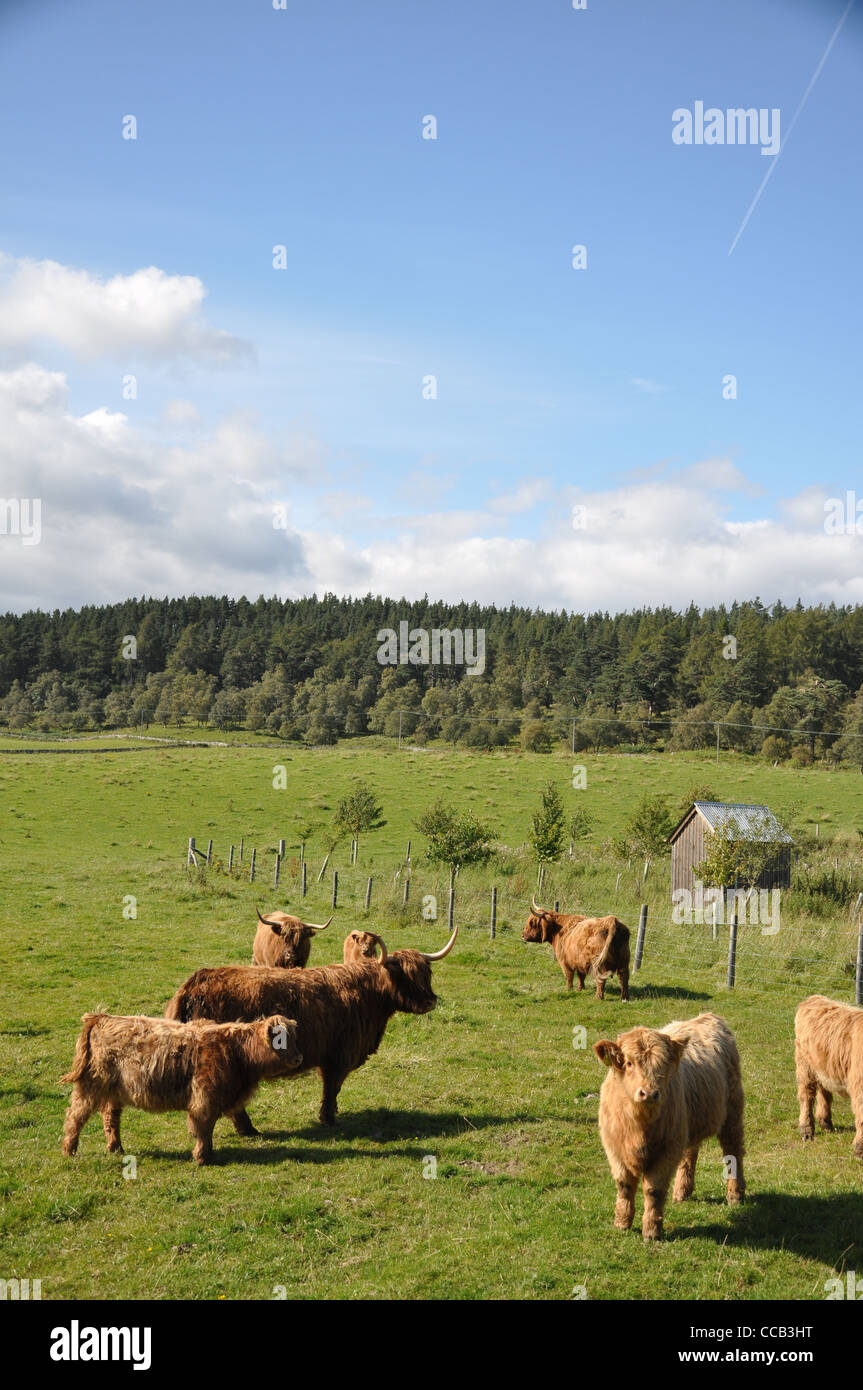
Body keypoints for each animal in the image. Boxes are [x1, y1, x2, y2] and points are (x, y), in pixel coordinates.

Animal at [60, 1012, 302, 1165]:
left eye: (294, 1038)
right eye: (280, 1040)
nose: (299, 1058)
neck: (238, 1053)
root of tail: (102, 1017)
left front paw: (208, 1154)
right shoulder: (204, 1099)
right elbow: (203, 1128)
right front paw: (203, 1157)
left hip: (114, 1091)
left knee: (110, 1117)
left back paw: (116, 1148)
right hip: (91, 1086)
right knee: (75, 1116)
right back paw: (69, 1150)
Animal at [164, 926, 458, 1131]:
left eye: (427, 974)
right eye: (406, 976)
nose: (430, 1001)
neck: (370, 993)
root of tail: (193, 983)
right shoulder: (339, 1055)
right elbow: (332, 1087)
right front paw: (328, 1119)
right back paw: (249, 1130)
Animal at [594, 1012, 745, 1240]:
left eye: (663, 1065)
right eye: (628, 1063)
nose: (649, 1093)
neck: (639, 1125)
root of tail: (708, 1017)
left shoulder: (667, 1149)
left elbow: (653, 1190)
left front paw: (651, 1231)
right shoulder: (614, 1148)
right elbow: (624, 1185)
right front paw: (621, 1223)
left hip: (732, 1114)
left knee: (733, 1151)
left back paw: (735, 1195)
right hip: (688, 1123)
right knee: (690, 1153)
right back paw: (682, 1192)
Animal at [795, 994, 863, 1159]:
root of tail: (815, 998)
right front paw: (859, 1150)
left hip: (823, 1067)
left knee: (824, 1093)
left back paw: (825, 1123)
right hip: (805, 1066)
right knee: (806, 1096)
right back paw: (807, 1131)